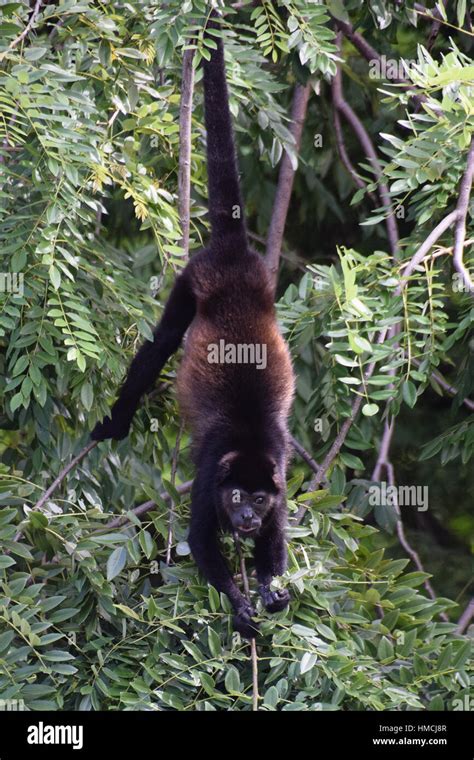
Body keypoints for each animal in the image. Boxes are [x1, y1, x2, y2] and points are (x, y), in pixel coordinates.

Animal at [91, 11, 295, 638]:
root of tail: (232, 254)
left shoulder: (280, 480)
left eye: (259, 500)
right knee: (159, 346)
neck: (247, 446)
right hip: (191, 279)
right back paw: (116, 419)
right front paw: (239, 605)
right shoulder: (210, 477)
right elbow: (201, 539)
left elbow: (276, 547)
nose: (247, 518)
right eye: (237, 496)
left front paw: (269, 589)